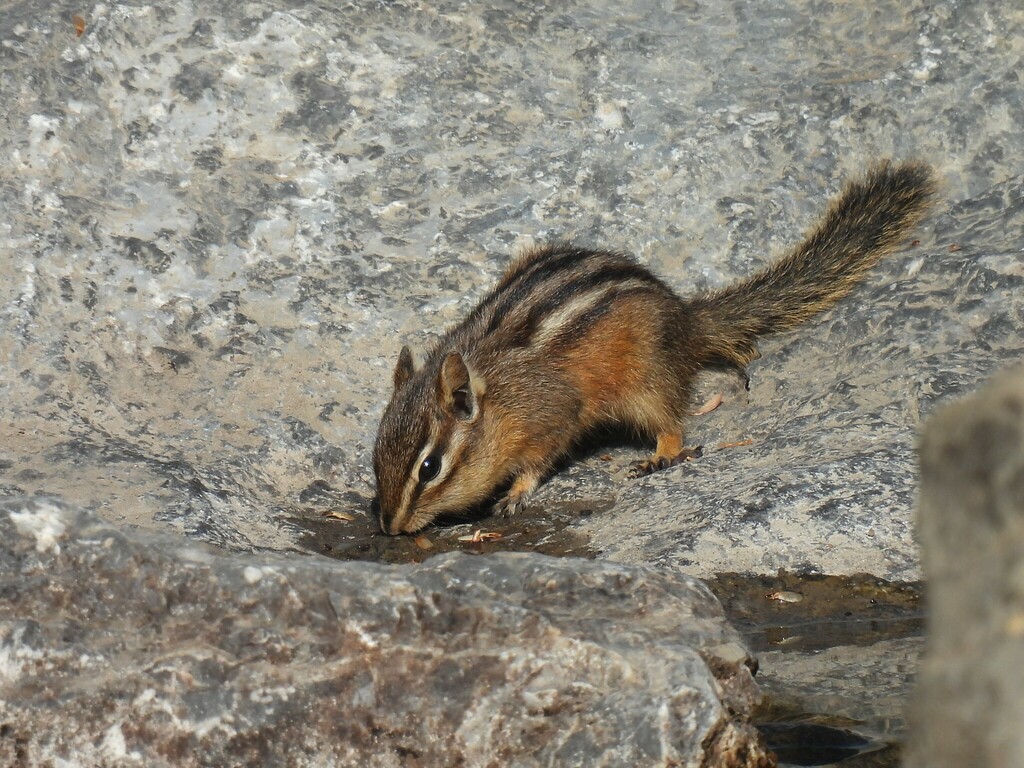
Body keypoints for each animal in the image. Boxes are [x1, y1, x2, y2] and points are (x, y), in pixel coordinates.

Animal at [373, 161, 935, 535]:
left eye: (429, 469)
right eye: (375, 456)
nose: (390, 528)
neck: (497, 398)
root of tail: (685, 318)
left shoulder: (553, 414)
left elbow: (539, 459)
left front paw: (514, 494)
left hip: (646, 380)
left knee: (671, 420)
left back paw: (661, 455)